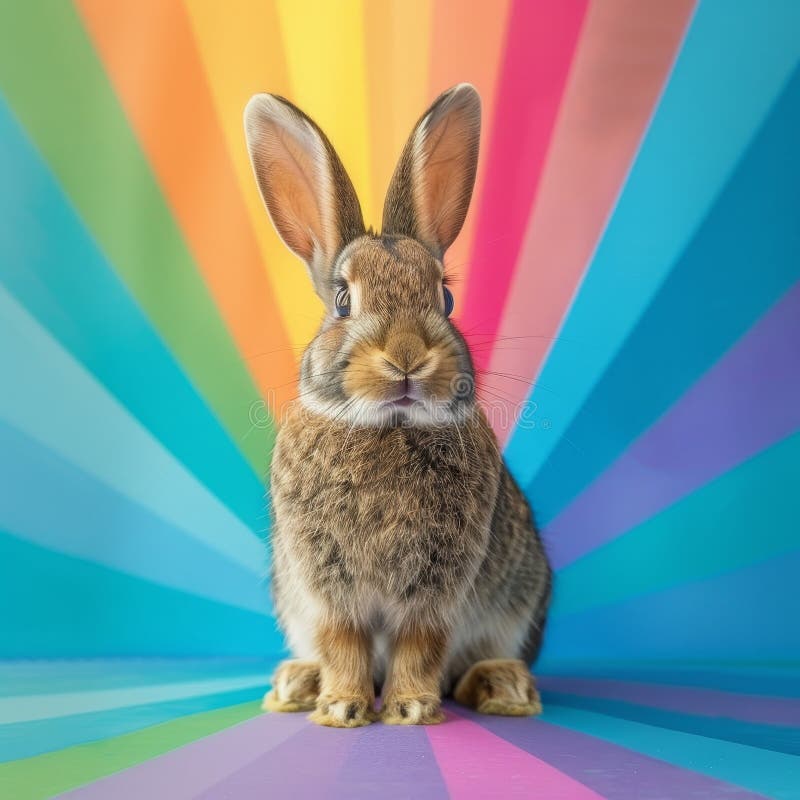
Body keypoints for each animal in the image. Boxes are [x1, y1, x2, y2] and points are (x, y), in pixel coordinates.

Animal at [244, 84, 552, 727]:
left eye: (446, 297)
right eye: (342, 301)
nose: (407, 355)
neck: (388, 425)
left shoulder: (436, 589)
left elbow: (420, 645)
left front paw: (410, 709)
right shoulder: (328, 588)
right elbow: (343, 643)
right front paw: (341, 707)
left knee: (468, 667)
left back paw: (503, 687)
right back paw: (296, 684)